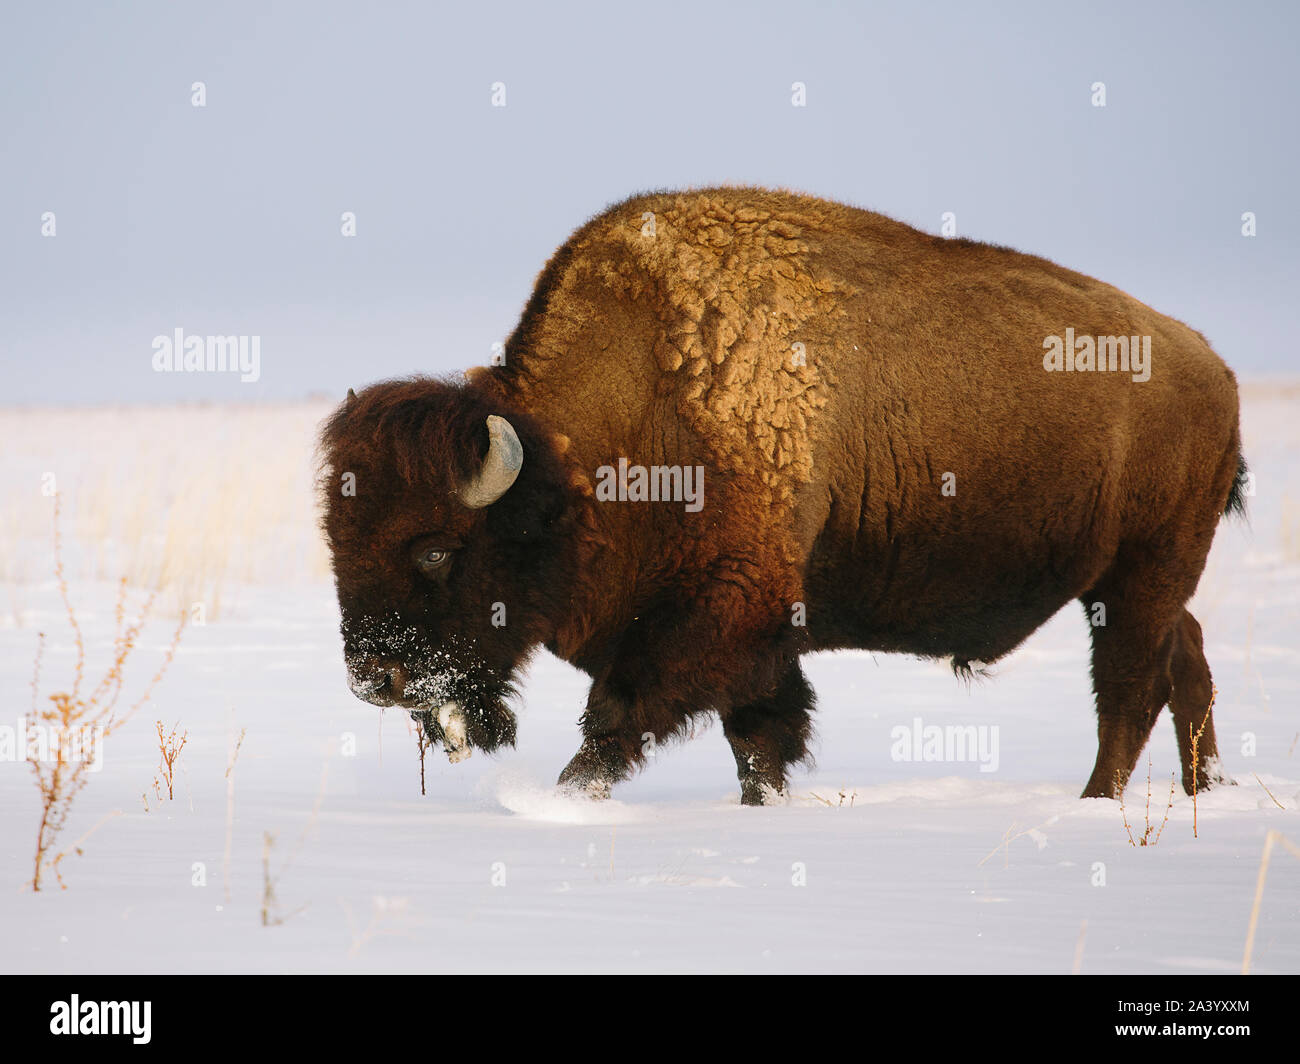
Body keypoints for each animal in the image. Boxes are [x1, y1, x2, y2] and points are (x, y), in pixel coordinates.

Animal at [319, 186, 1245, 804]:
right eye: (336, 544)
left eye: (436, 548)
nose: (375, 681)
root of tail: (1211, 363)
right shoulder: (756, 637)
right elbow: (758, 735)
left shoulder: (717, 613)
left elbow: (621, 719)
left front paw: (563, 800)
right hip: (1133, 579)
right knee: (1186, 659)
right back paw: (1202, 790)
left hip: (1144, 570)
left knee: (1131, 685)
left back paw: (1099, 803)